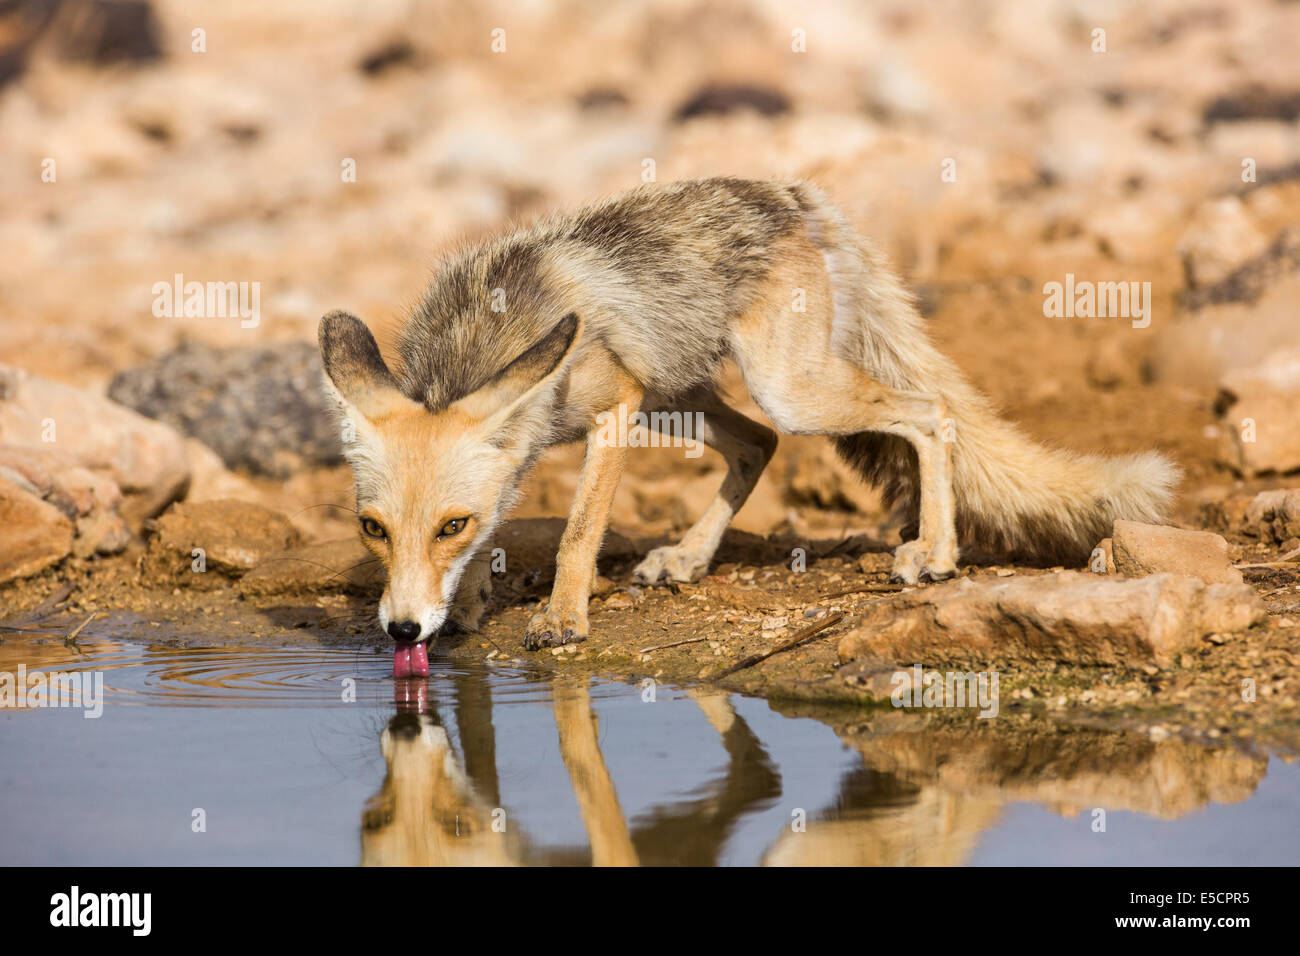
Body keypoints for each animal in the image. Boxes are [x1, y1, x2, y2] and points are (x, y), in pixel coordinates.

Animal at [319, 177, 1179, 674]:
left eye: (448, 524)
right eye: (373, 529)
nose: (400, 631)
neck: (484, 334)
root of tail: (791, 193)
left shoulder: (613, 404)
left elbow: (577, 532)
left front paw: (563, 619)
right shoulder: (540, 440)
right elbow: (504, 524)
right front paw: (464, 606)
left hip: (783, 391)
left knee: (929, 413)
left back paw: (935, 552)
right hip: (682, 397)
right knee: (759, 444)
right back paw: (691, 558)